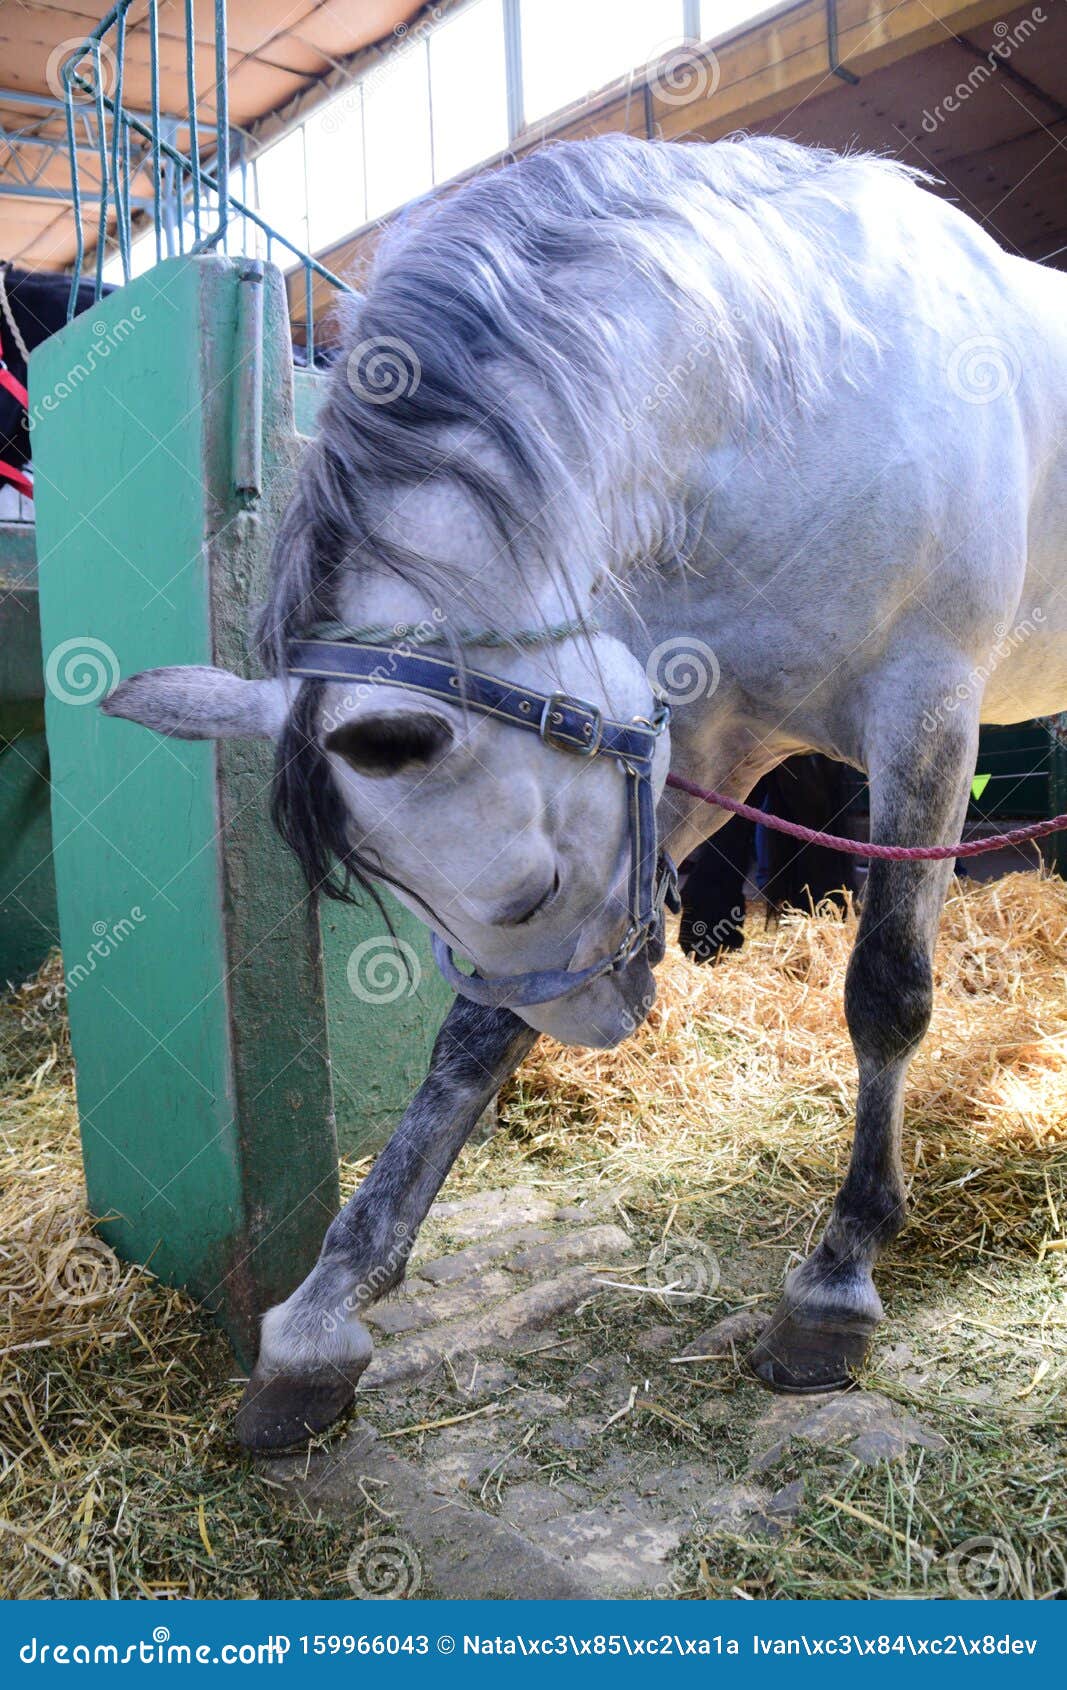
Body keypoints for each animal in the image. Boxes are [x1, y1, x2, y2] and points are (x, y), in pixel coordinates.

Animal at [102, 134, 1067, 1451]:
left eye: (527, 892)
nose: (606, 1024)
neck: (787, 389)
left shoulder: (924, 708)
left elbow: (885, 994)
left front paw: (834, 1279)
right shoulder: (684, 733)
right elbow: (468, 1040)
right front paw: (321, 1317)